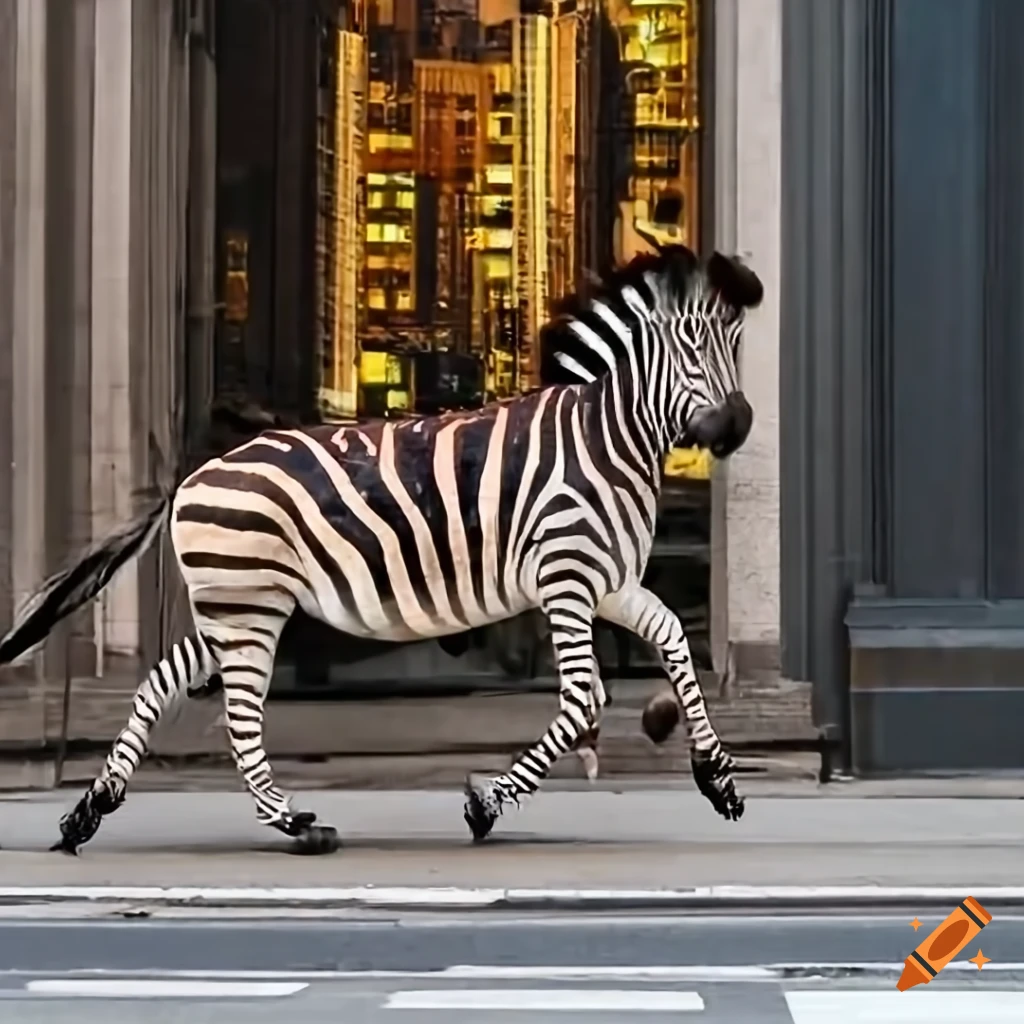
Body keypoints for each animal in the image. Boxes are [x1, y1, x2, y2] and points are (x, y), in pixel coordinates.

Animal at [0, 242, 763, 855]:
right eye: (693, 345)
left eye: (734, 344)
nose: (739, 426)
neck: (609, 439)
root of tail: (192, 474)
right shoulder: (567, 579)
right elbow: (581, 700)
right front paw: (485, 806)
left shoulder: (608, 582)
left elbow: (674, 639)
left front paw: (718, 779)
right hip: (249, 607)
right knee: (240, 717)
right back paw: (297, 827)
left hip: (237, 605)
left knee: (161, 683)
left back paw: (88, 813)